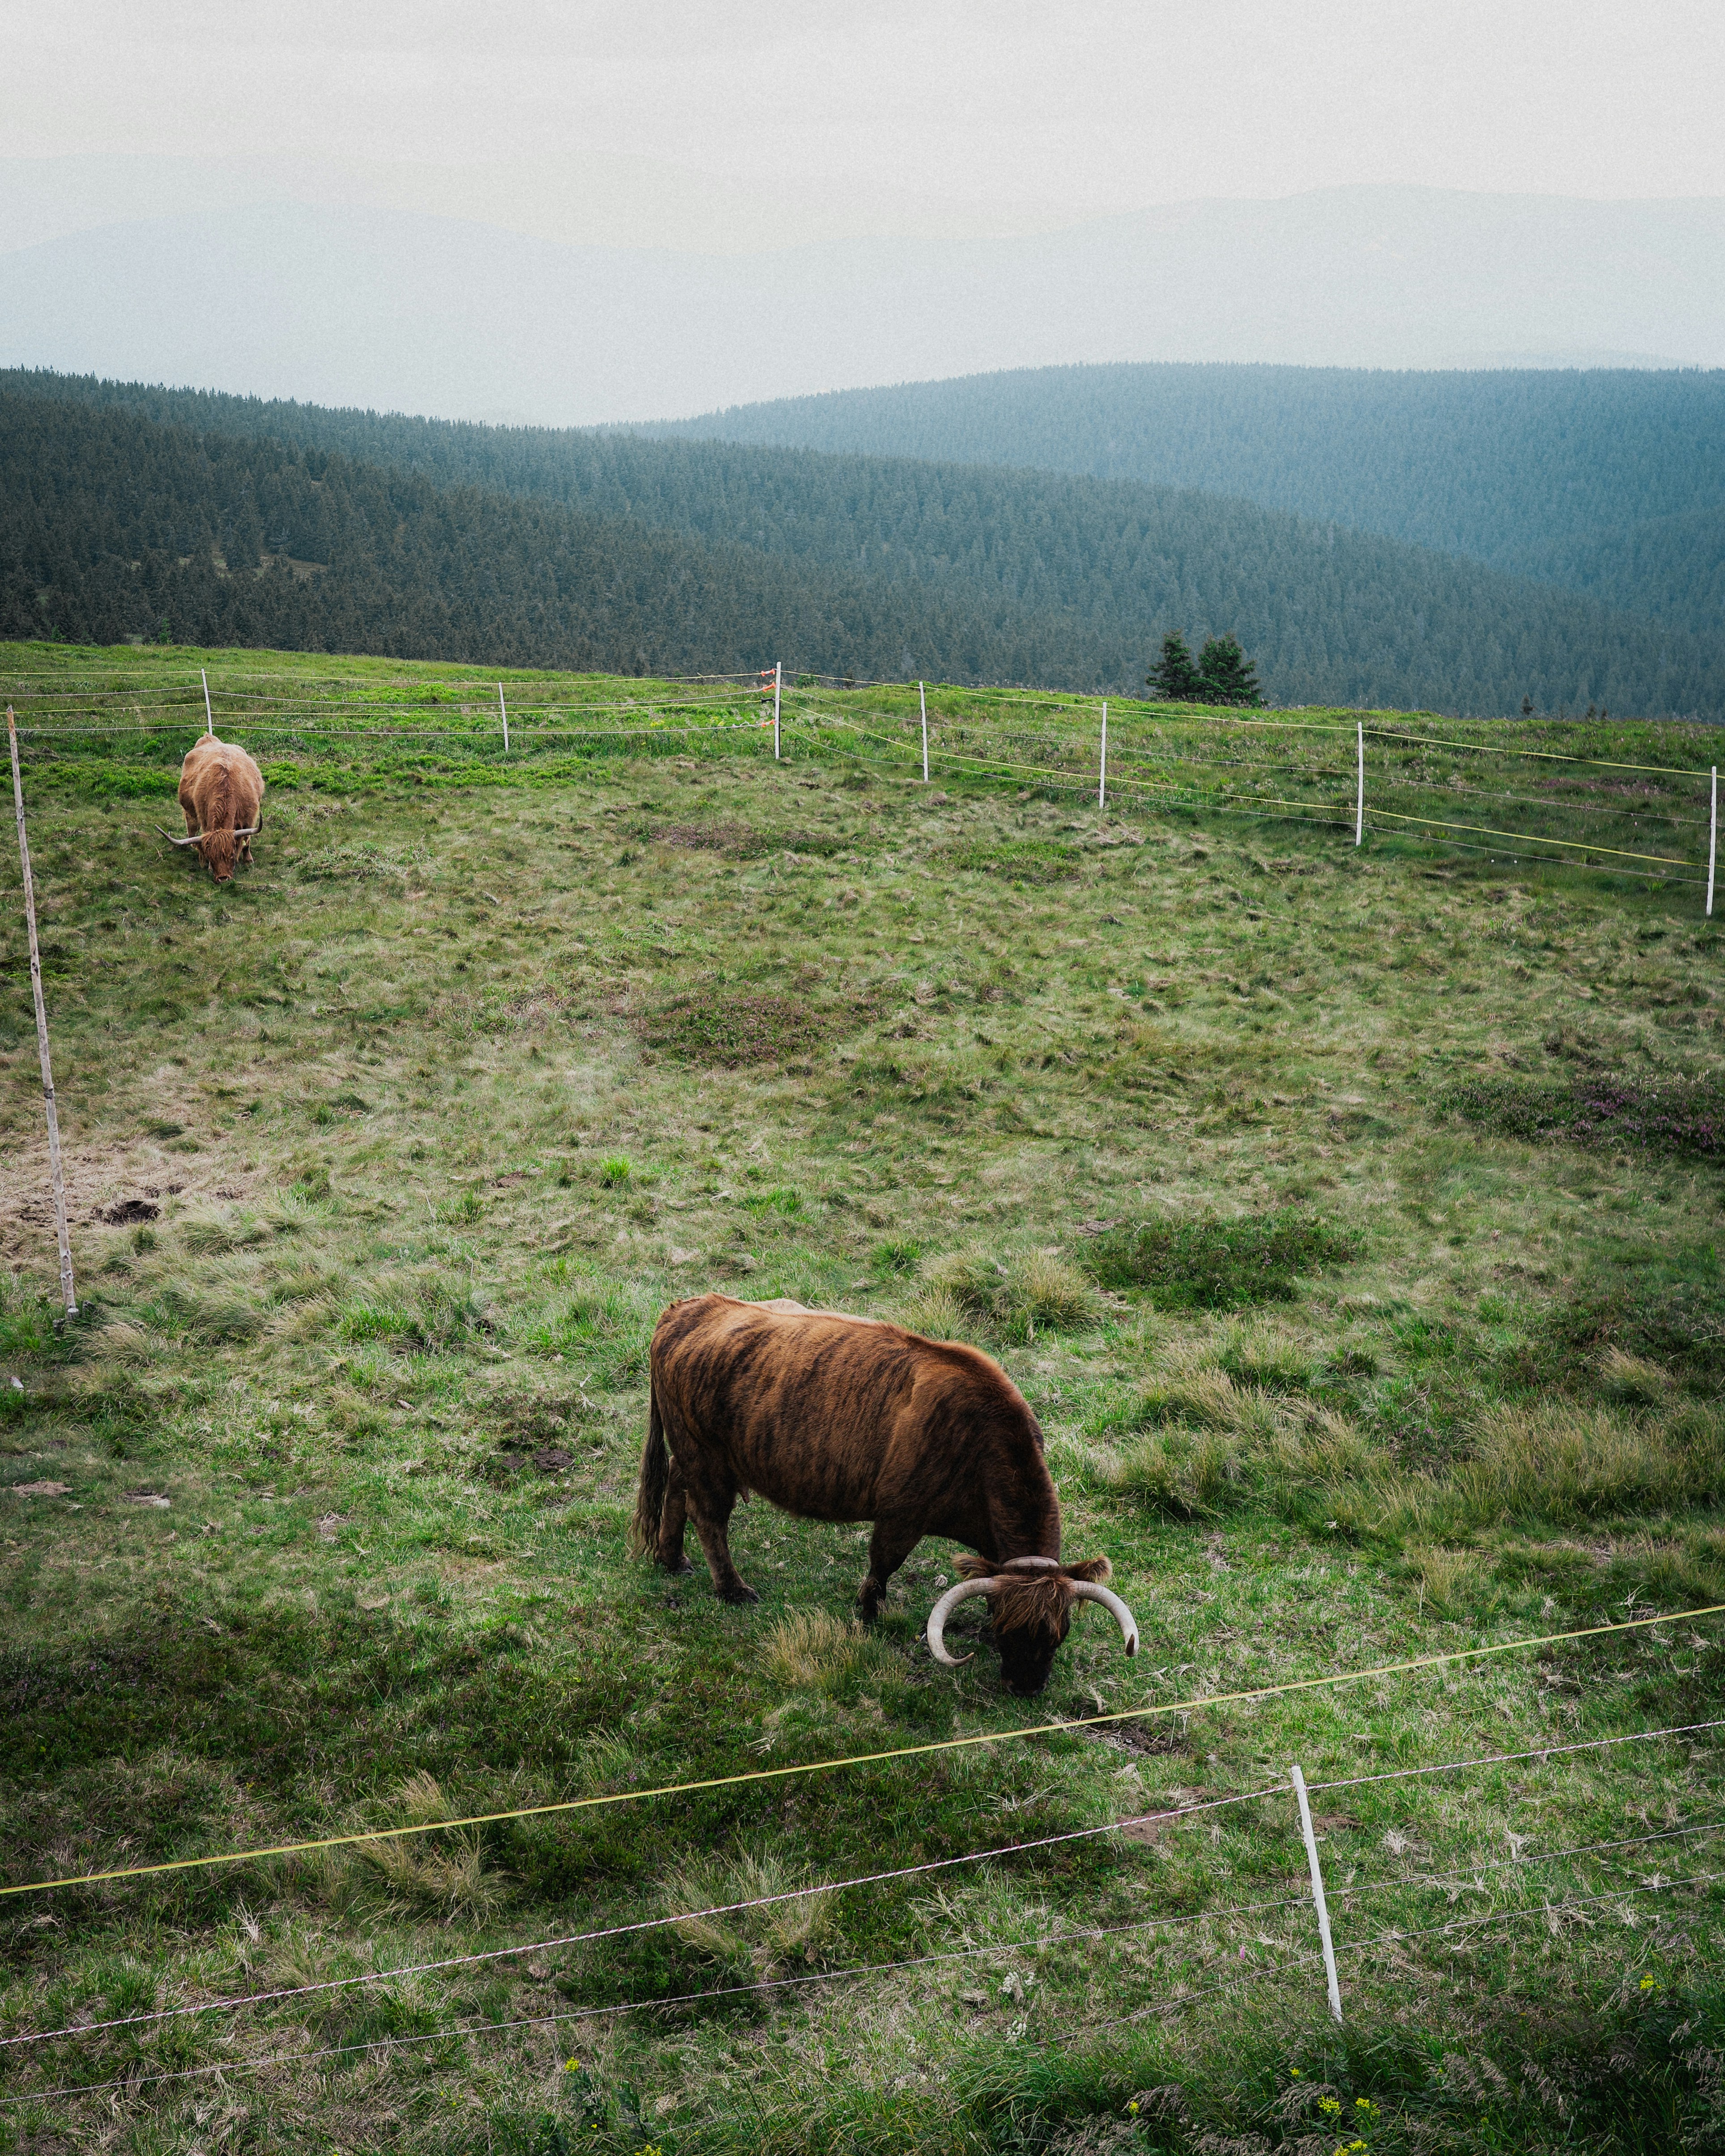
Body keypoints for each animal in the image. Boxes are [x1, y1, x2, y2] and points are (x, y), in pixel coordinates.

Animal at [176, 736, 265, 883]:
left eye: (232, 854)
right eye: (211, 857)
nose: (223, 878)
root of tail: (209, 738)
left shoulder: (249, 818)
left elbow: (247, 840)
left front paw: (248, 861)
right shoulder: (204, 818)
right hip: (190, 812)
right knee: (192, 830)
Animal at [631, 1293, 1139, 1695]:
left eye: (1058, 1634)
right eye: (1004, 1631)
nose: (1026, 1688)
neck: (980, 1443)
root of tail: (689, 1308)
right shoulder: (900, 1514)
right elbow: (883, 1564)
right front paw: (867, 1612)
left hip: (691, 1453)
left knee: (675, 1489)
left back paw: (672, 1559)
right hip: (706, 1457)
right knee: (708, 1517)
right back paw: (733, 1590)